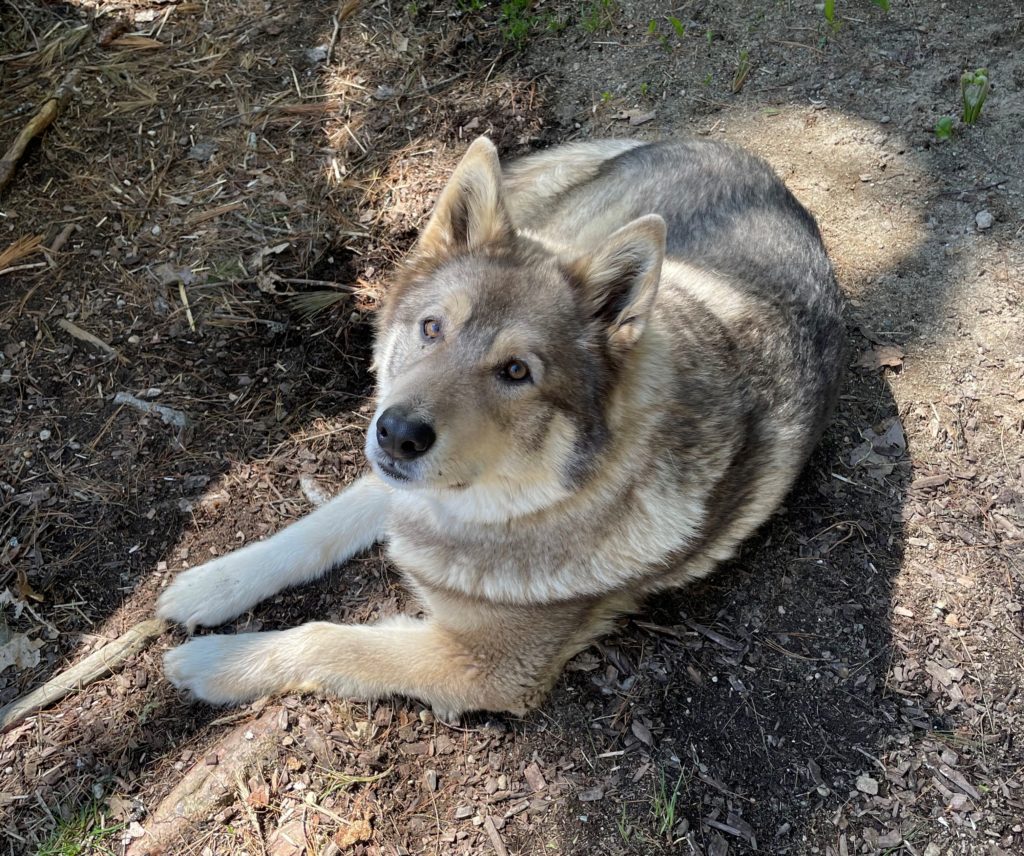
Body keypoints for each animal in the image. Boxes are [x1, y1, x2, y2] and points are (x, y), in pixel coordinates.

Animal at [158, 136, 844, 720]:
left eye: (516, 371)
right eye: (432, 328)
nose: (397, 433)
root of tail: (742, 153)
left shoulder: (483, 667)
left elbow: (327, 639)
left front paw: (217, 661)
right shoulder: (394, 487)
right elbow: (311, 532)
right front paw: (212, 585)